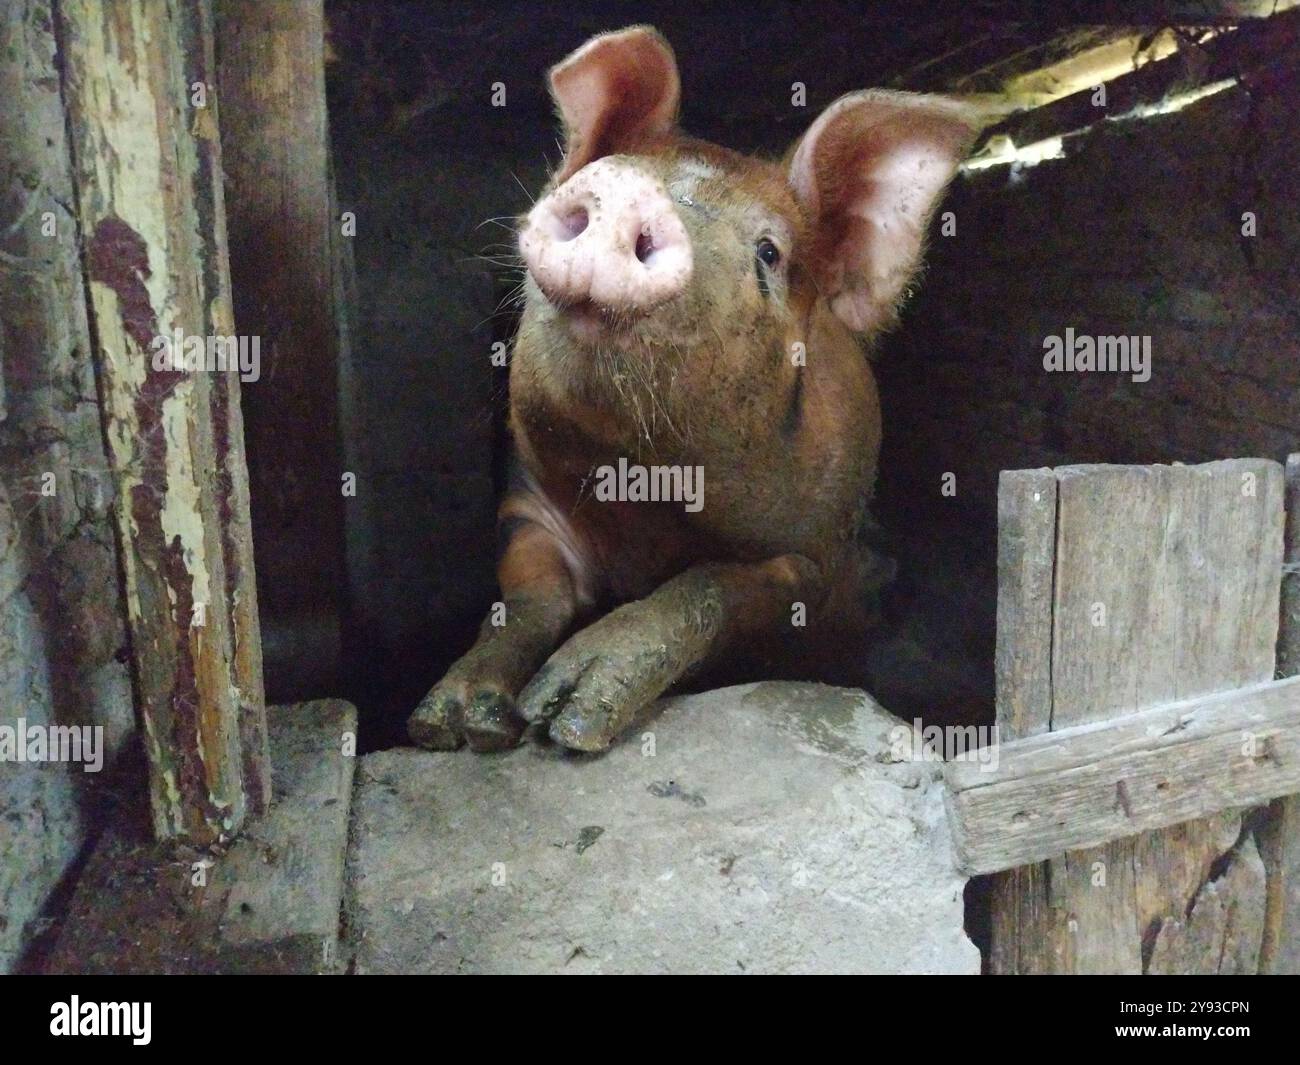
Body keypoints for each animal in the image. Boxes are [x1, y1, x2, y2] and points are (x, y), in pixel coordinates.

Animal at [408, 25, 980, 753]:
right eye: (621, 168)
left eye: (769, 252)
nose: (626, 187)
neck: (642, 499)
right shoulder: (530, 503)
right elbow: (530, 597)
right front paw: (456, 724)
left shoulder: (808, 562)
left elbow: (704, 587)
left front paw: (565, 719)